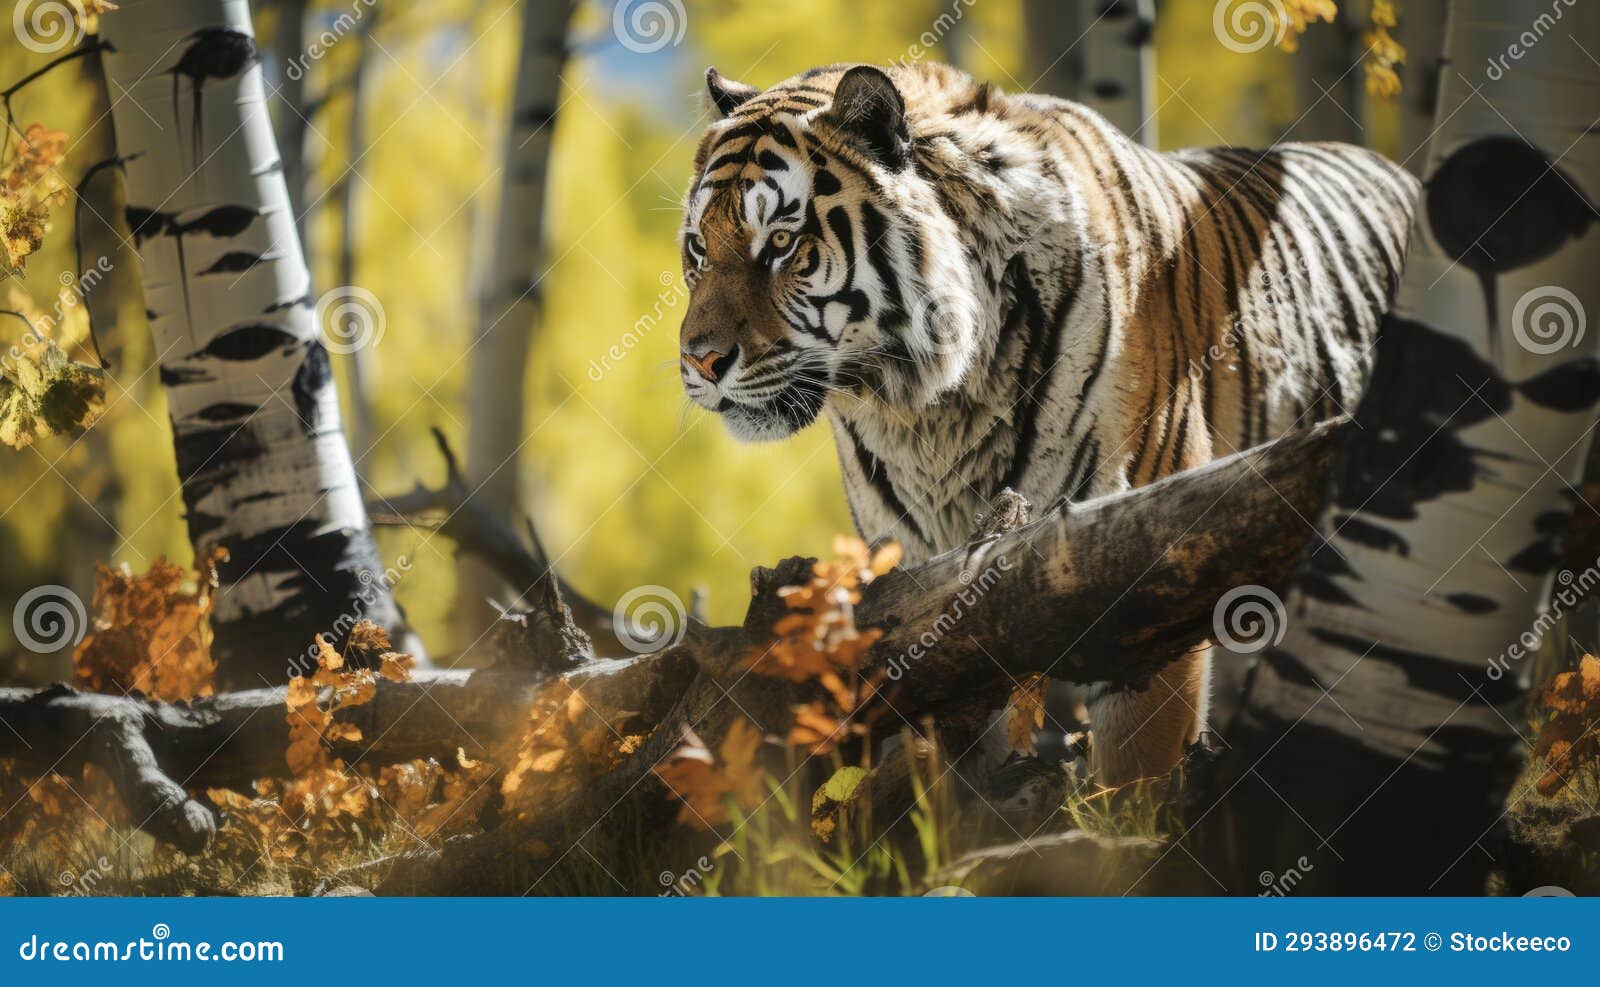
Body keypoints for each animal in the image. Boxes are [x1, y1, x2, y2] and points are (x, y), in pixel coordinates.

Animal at [676, 62, 1417, 785]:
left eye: (781, 243)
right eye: (698, 249)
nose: (699, 360)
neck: (923, 408)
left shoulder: (1138, 574)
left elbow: (1133, 783)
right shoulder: (922, 601)